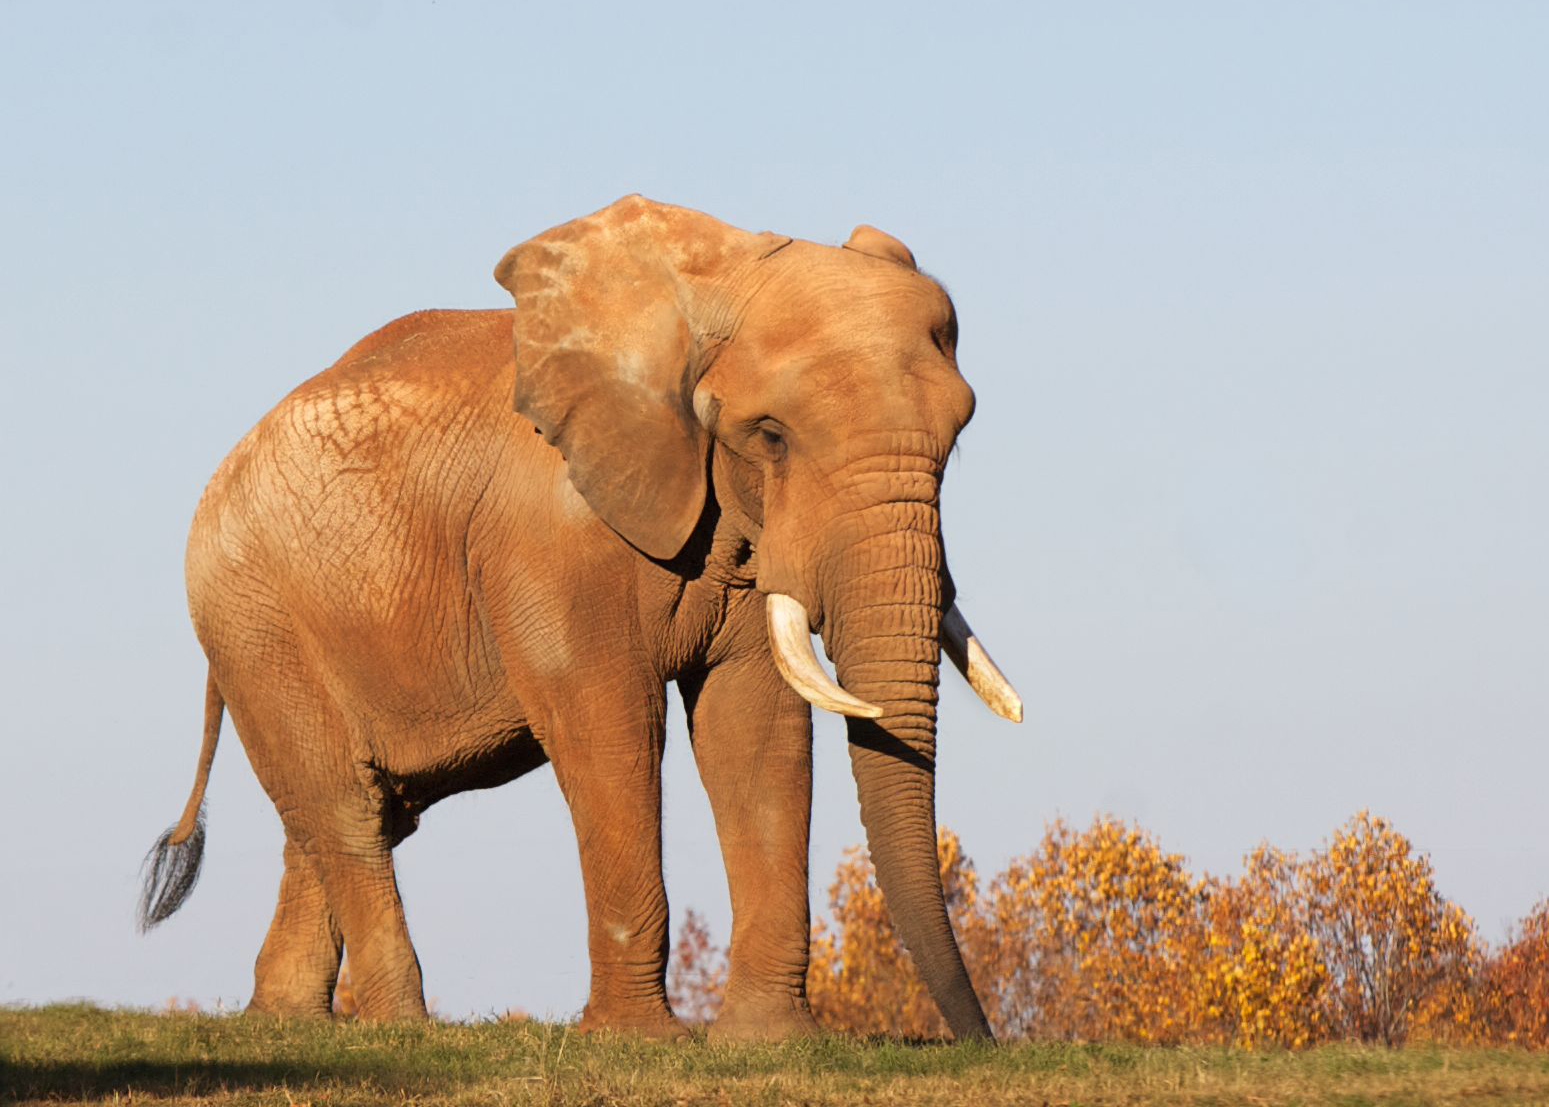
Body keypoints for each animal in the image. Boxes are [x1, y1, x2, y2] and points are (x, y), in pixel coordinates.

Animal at [139, 195, 1021, 1041]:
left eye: (957, 432)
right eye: (770, 434)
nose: (979, 1037)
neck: (705, 279)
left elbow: (753, 723)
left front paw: (771, 1041)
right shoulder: (548, 536)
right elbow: (610, 724)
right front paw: (642, 1038)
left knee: (351, 810)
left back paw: (287, 1019)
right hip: (252, 614)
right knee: (346, 807)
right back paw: (400, 1028)